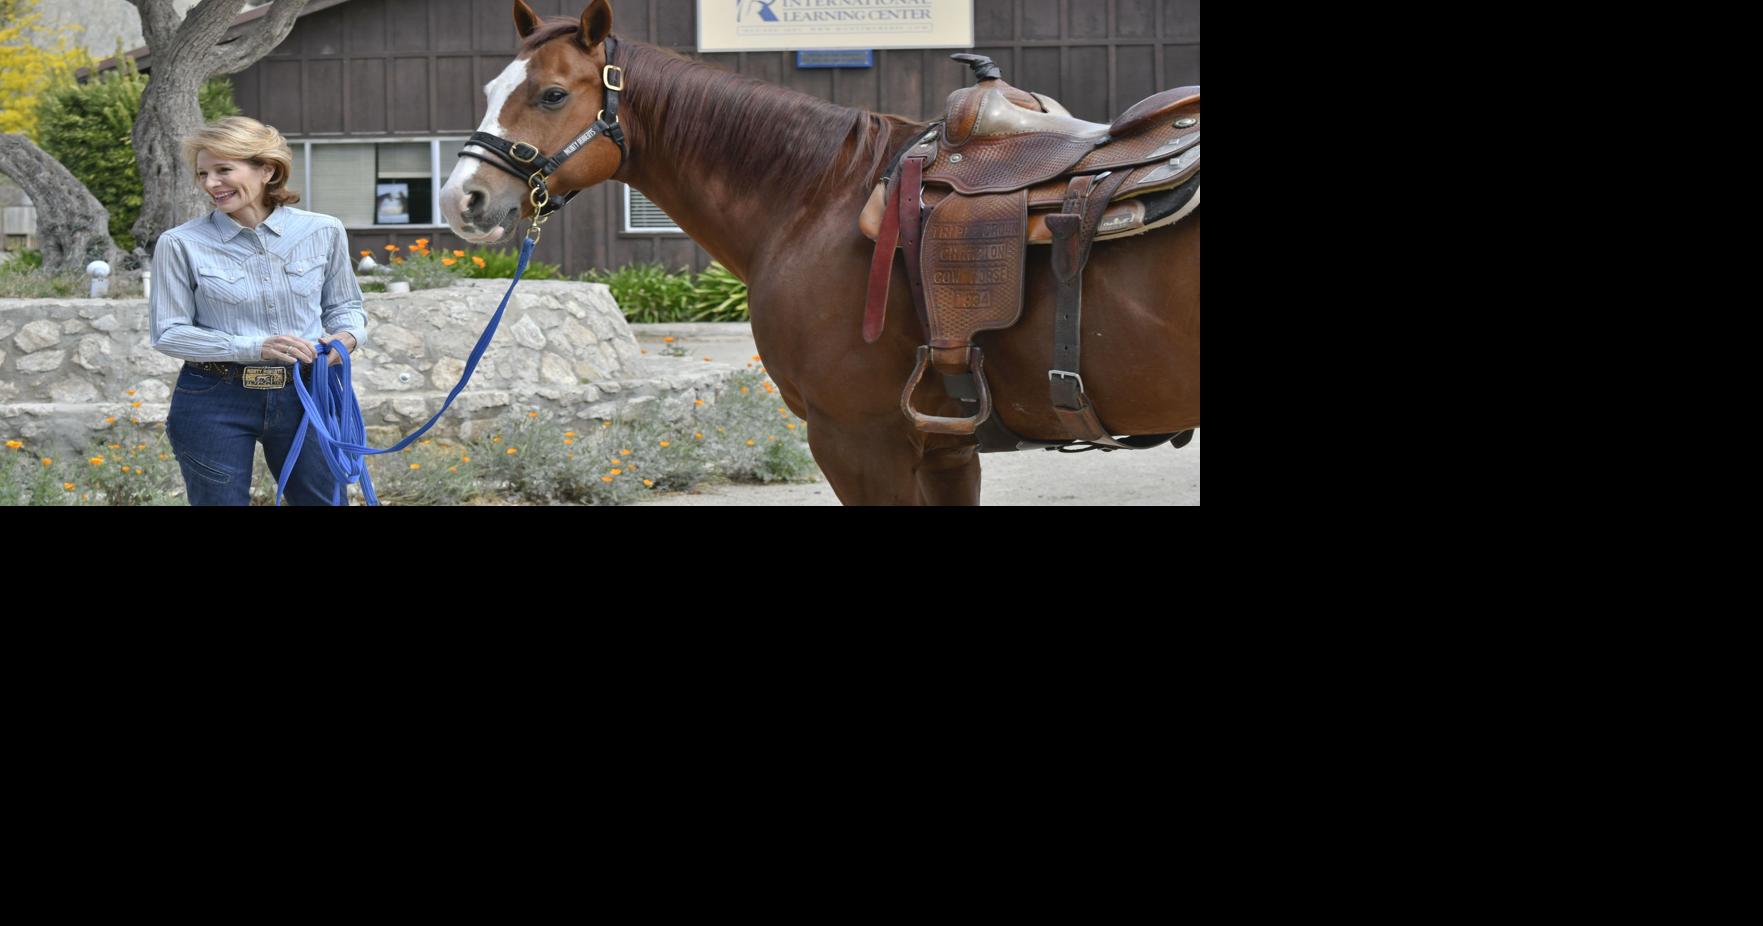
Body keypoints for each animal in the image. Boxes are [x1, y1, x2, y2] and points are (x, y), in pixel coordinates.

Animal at [440, 0, 1199, 506]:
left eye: (552, 94)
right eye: (488, 90)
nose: (461, 199)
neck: (819, 196)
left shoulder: (859, 442)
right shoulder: (945, 447)